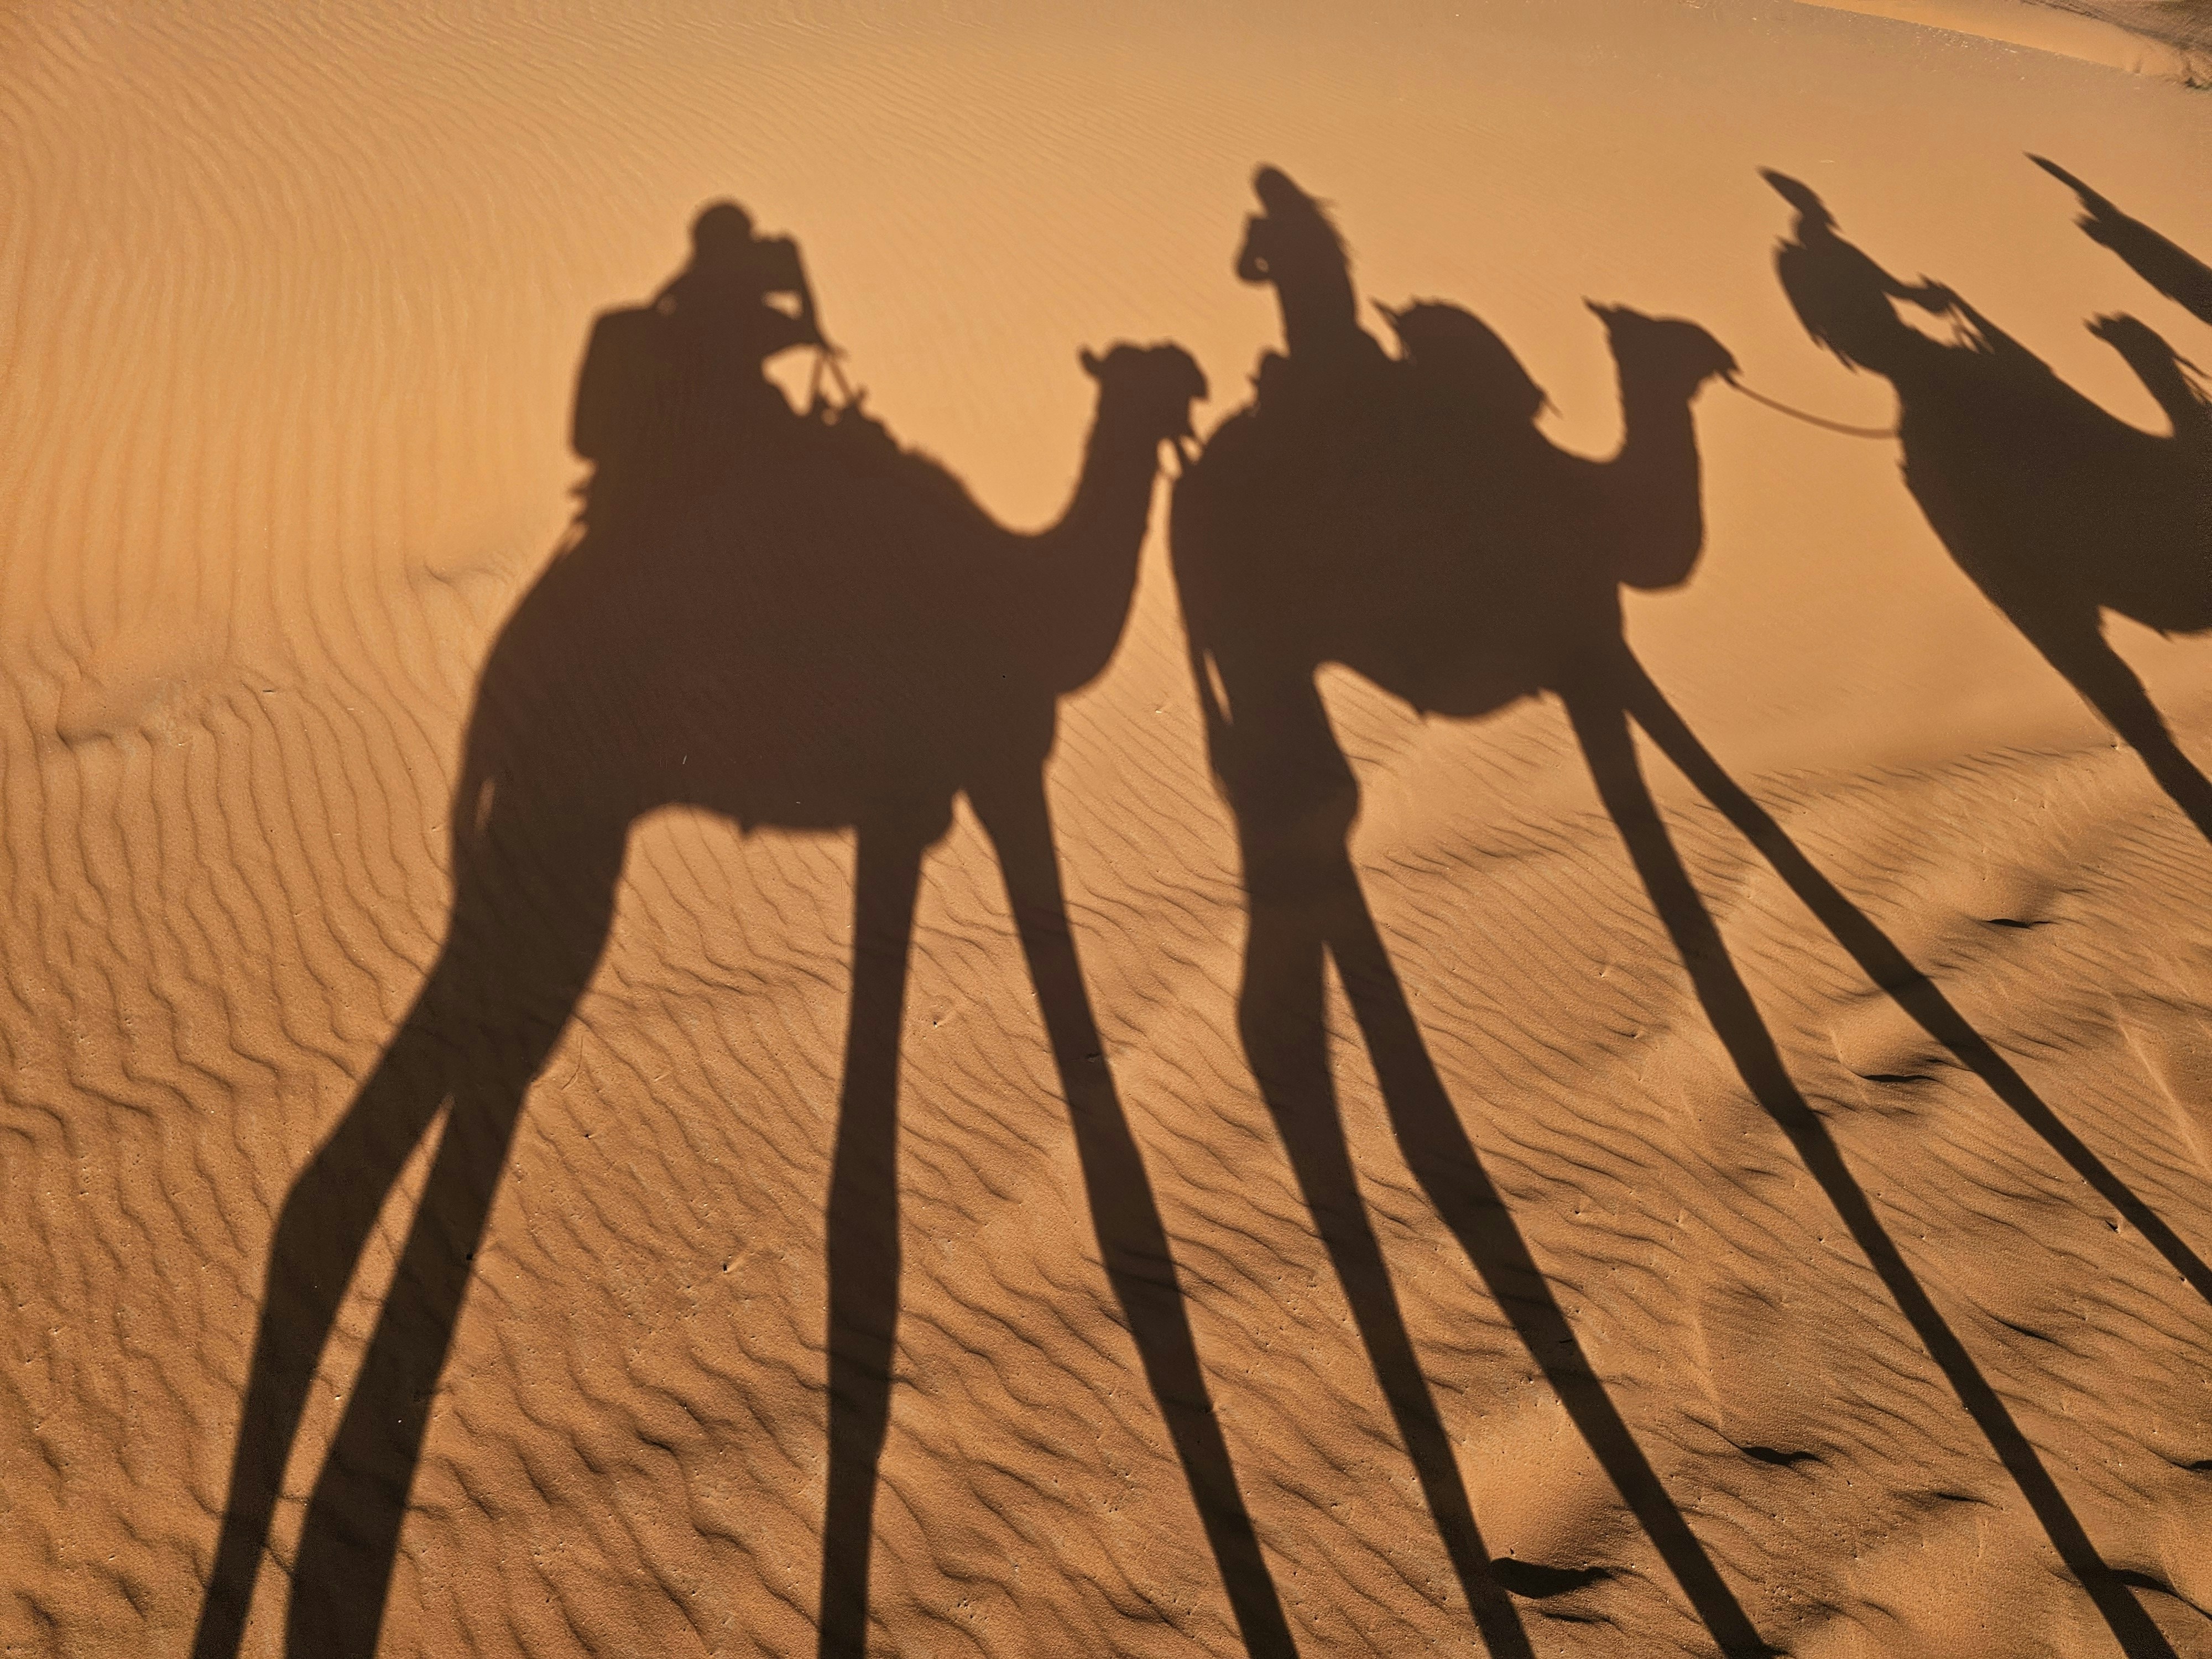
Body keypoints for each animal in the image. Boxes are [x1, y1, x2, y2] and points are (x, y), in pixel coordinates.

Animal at [188, 335, 1308, 1659]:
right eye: (1152, 377)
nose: (1199, 396)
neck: (1031, 597)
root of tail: (502, 672)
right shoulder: (988, 763)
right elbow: (1044, 1161)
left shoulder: (905, 811)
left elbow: (870, 1197)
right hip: (562, 825)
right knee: (391, 1135)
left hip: (552, 841)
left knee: (407, 1132)